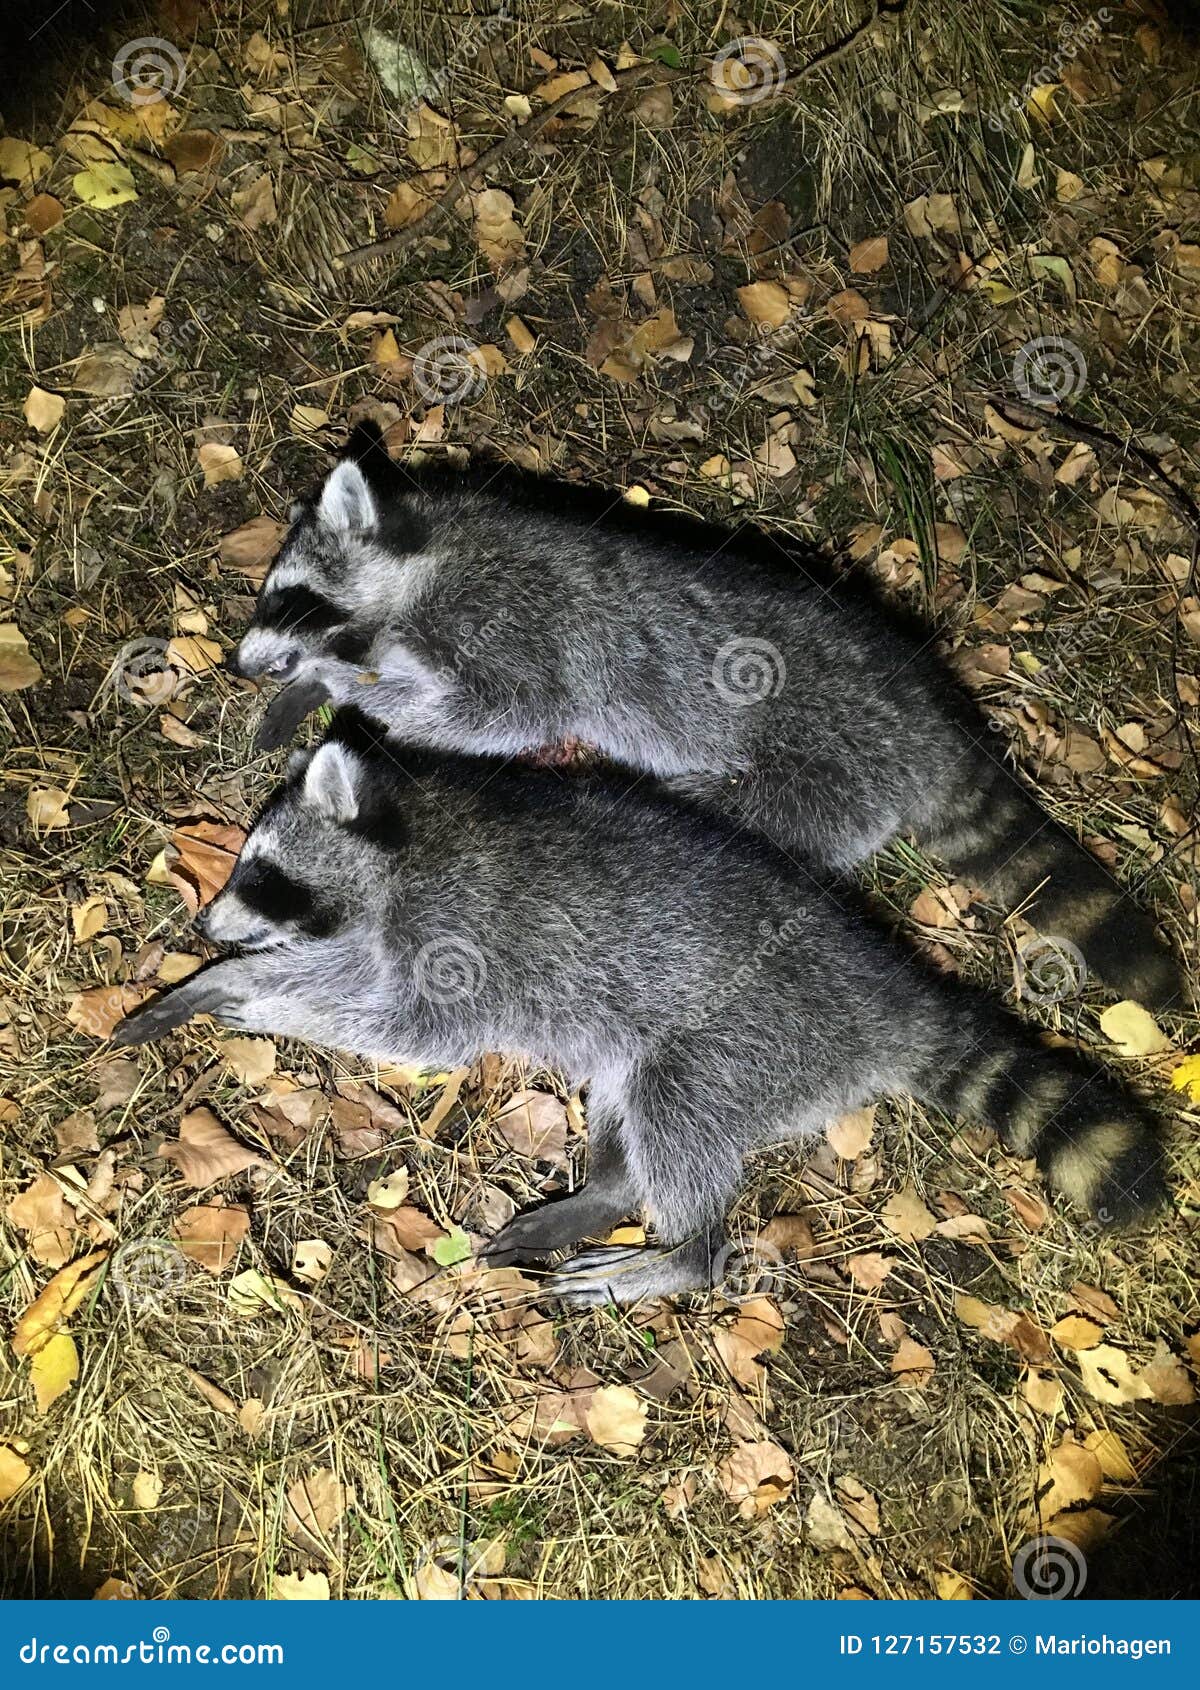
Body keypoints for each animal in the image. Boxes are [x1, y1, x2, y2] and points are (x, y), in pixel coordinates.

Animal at [113, 710, 1167, 1305]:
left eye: (262, 872)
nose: (208, 921)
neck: (411, 833)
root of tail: (889, 990)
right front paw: (228, 976)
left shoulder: (457, 939)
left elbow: (407, 1028)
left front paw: (251, 994)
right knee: (630, 1103)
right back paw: (611, 1193)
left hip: (742, 1038)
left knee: (679, 1109)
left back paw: (682, 1253)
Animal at [235, 426, 1183, 1011]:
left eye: (288, 595)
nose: (238, 662)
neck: (430, 548)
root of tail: (933, 723)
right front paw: (319, 685)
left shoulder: (514, 618)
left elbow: (505, 710)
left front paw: (368, 700)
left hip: (826, 766)